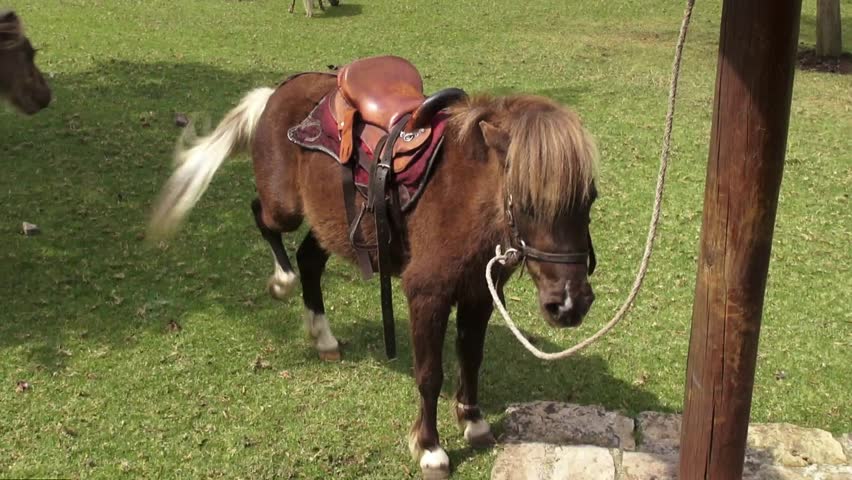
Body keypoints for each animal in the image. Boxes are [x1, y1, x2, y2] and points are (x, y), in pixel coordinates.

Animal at [148, 64, 599, 478]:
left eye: (591, 197)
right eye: (526, 202)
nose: (570, 304)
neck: (465, 193)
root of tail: (276, 93)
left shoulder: (480, 292)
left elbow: (471, 358)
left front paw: (473, 422)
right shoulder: (428, 294)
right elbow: (429, 374)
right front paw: (430, 448)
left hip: (333, 224)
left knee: (309, 260)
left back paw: (324, 338)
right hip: (286, 207)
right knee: (263, 217)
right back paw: (281, 282)